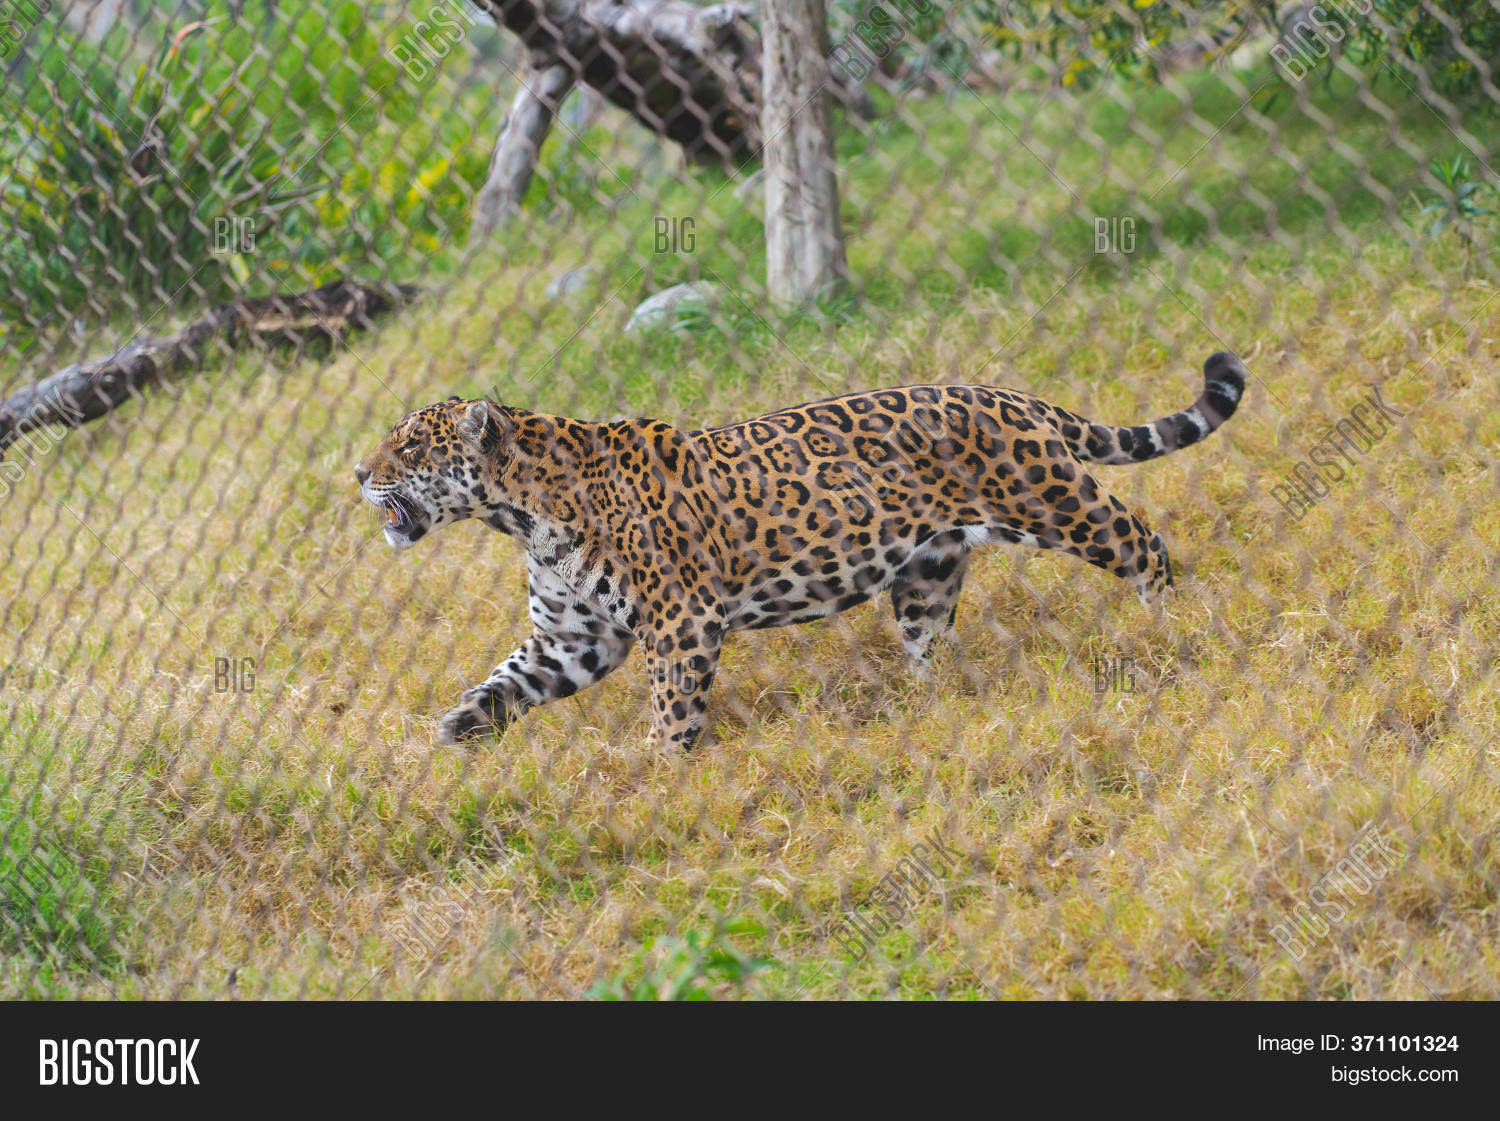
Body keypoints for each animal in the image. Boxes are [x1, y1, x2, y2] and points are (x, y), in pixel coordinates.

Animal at [354, 351, 1245, 750]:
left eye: (409, 446)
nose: (358, 472)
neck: (521, 516)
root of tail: (1005, 394)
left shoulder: (679, 622)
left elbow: (672, 708)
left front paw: (659, 771)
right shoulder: (574, 637)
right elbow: (505, 680)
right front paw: (455, 731)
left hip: (1053, 500)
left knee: (1141, 542)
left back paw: (1170, 622)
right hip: (925, 573)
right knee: (930, 645)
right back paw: (928, 707)